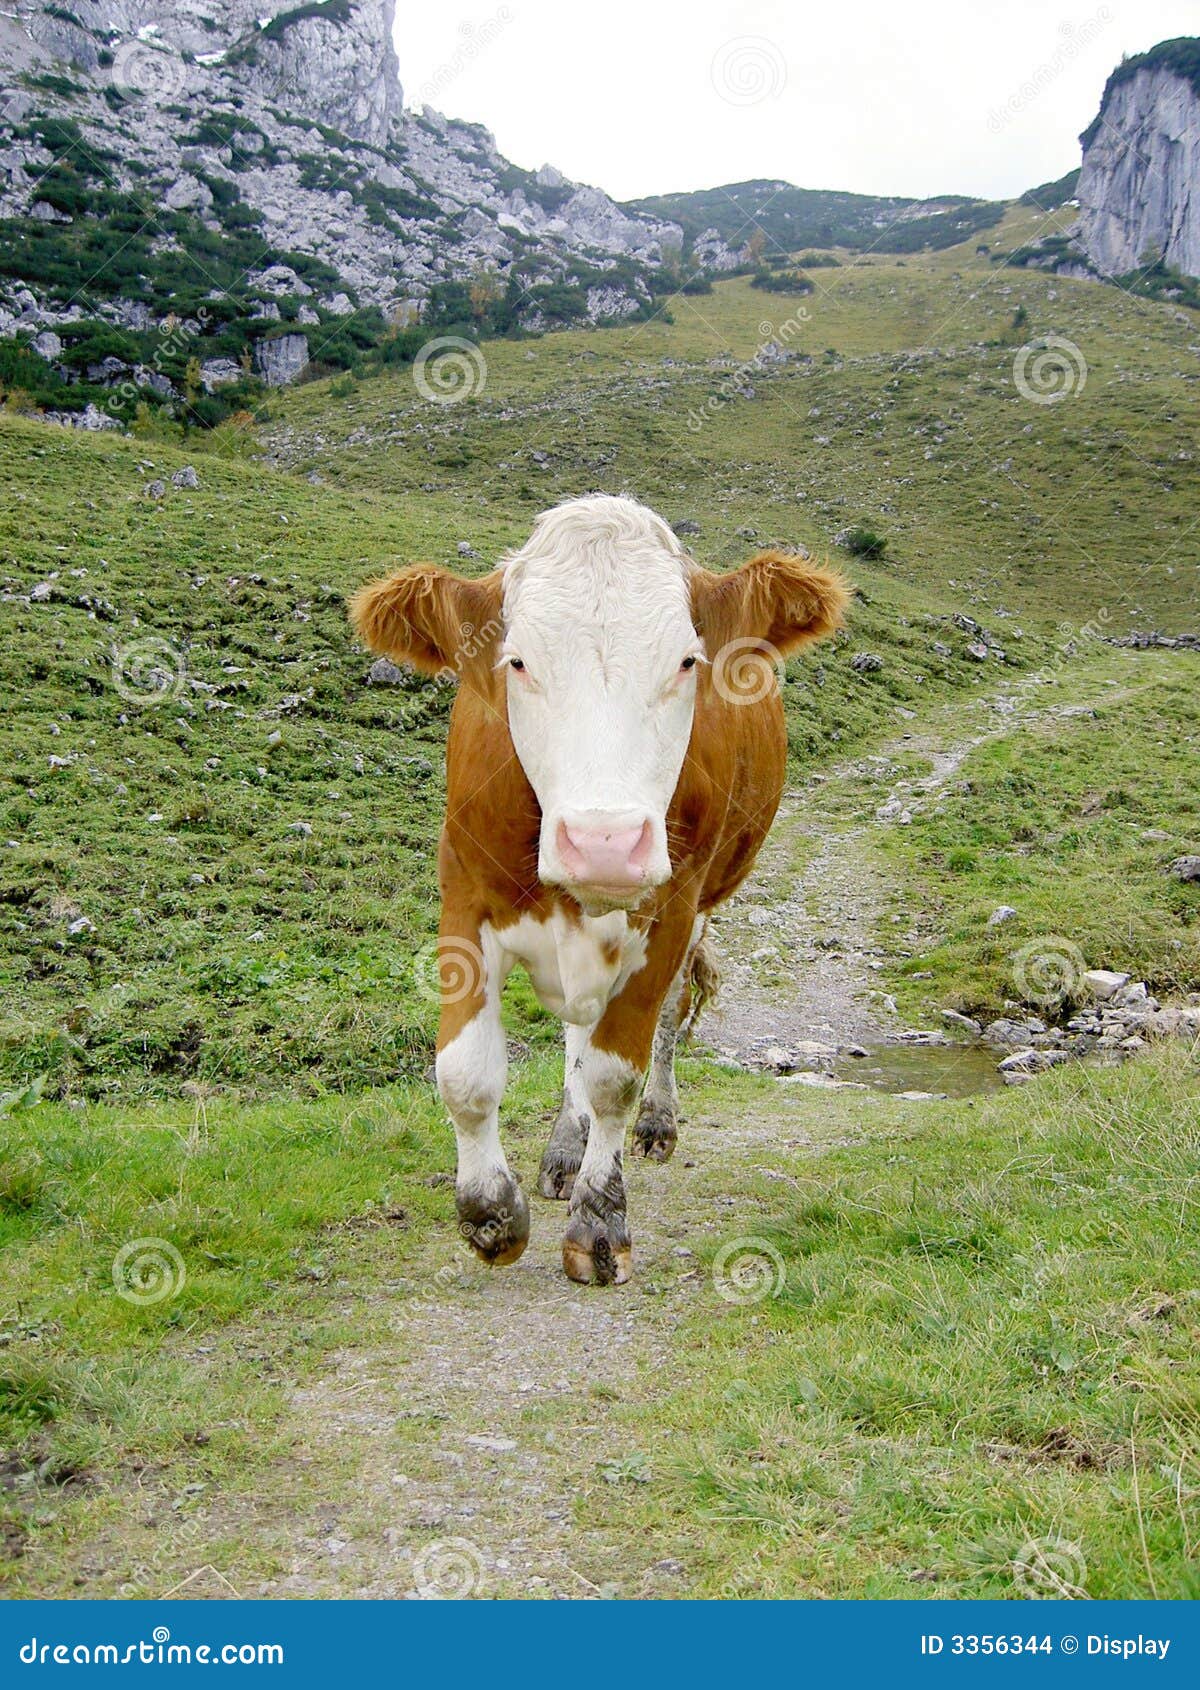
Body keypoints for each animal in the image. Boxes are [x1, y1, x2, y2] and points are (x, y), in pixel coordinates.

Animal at [350, 495, 849, 1286]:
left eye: (687, 660)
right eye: (518, 660)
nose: (604, 841)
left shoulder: (672, 907)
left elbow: (616, 1072)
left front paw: (599, 1220)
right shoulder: (463, 890)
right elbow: (465, 1073)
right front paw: (490, 1212)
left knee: (658, 1021)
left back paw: (654, 1124)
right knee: (574, 1033)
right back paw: (563, 1146)